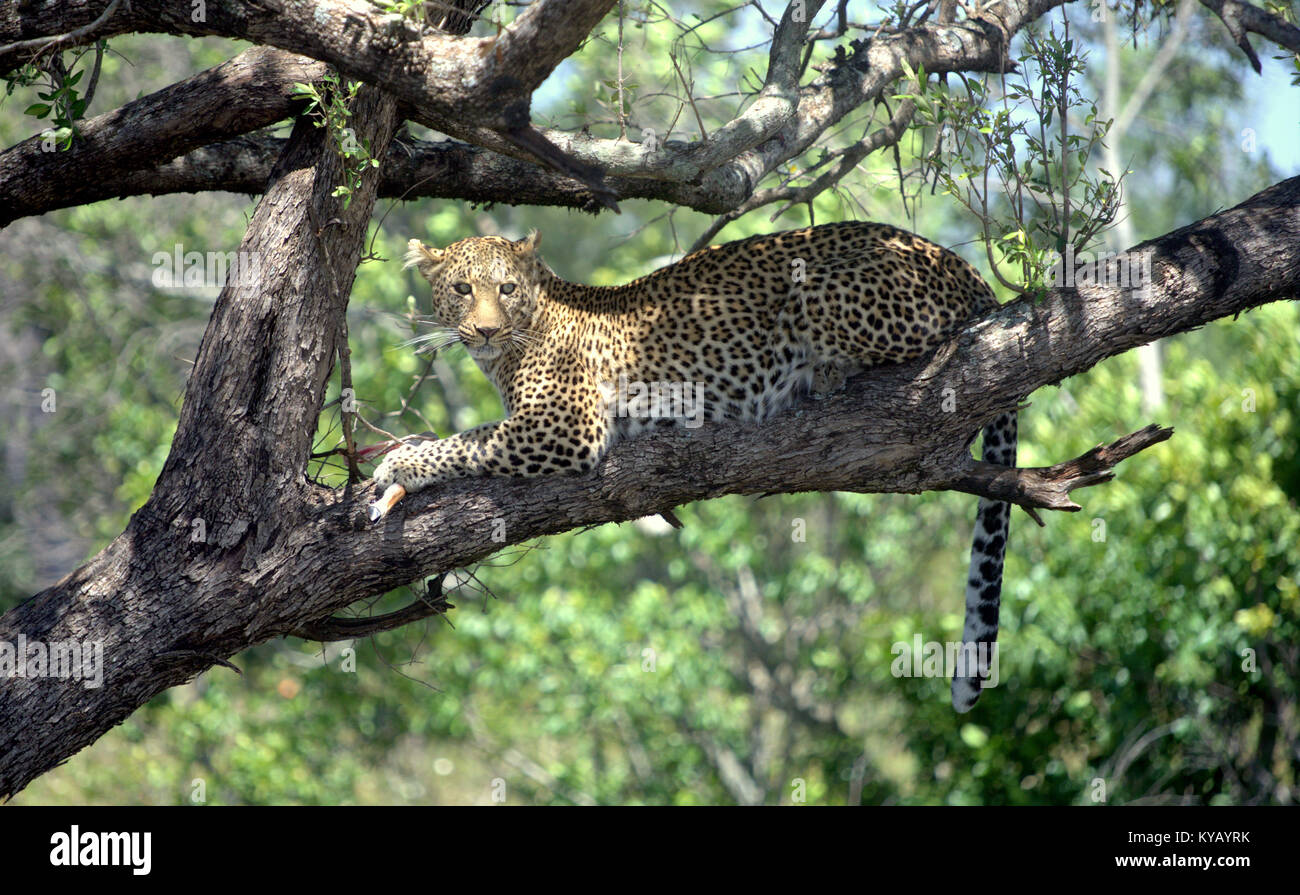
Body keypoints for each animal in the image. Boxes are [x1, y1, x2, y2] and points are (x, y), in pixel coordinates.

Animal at [370, 222, 1018, 711]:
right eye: (461, 288)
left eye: (505, 288)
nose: (484, 329)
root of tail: (963, 265)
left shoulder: (565, 424)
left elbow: (468, 439)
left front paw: (396, 468)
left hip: (822, 290)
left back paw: (823, 373)